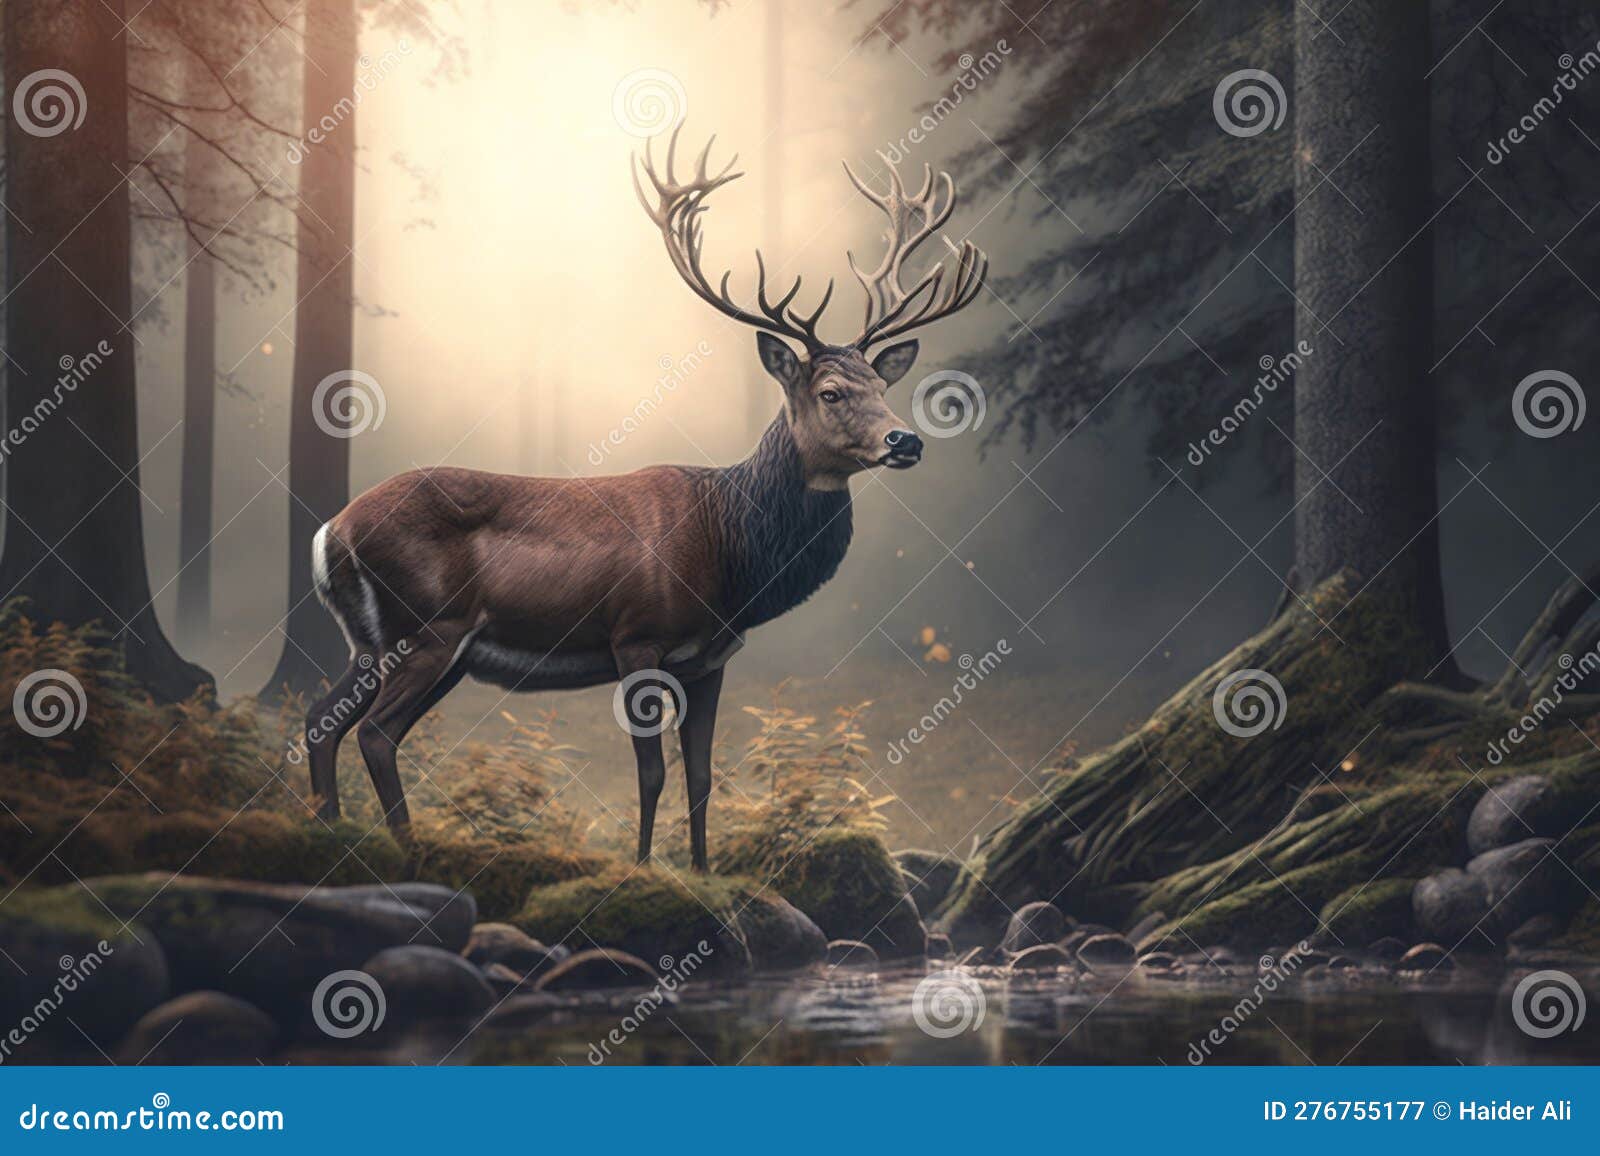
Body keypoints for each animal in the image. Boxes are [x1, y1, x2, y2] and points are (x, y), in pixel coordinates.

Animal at [304, 126, 987, 871]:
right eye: (831, 392)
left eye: (883, 386)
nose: (905, 440)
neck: (729, 551)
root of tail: (329, 533)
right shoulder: (636, 635)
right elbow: (652, 773)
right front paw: (640, 868)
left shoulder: (710, 659)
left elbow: (702, 774)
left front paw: (701, 871)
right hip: (429, 627)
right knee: (375, 732)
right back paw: (404, 849)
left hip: (379, 641)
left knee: (320, 719)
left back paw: (327, 829)